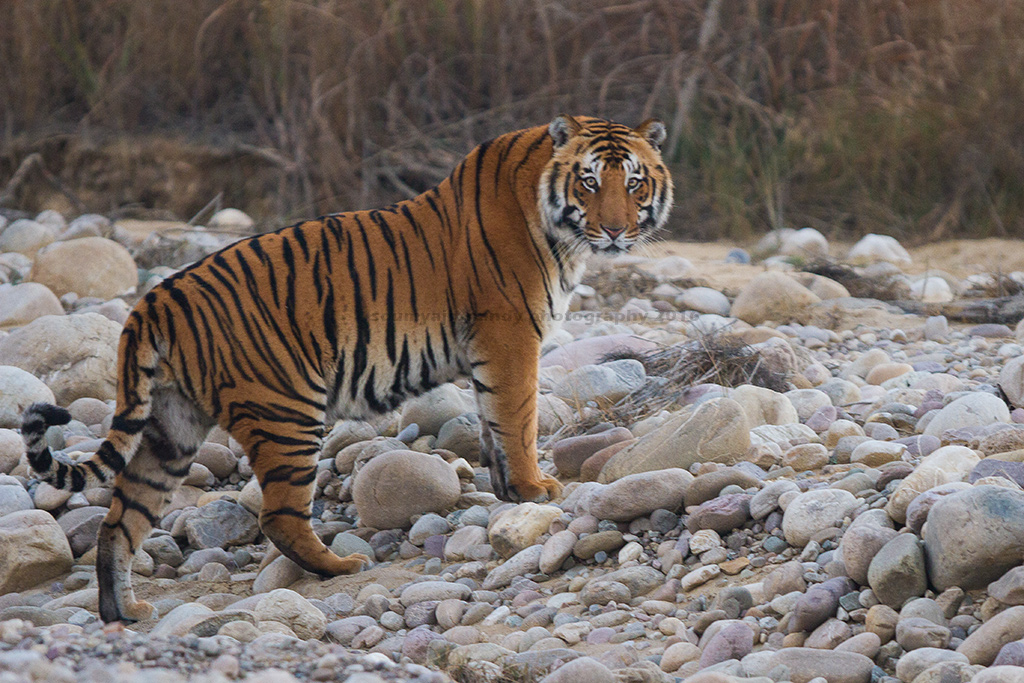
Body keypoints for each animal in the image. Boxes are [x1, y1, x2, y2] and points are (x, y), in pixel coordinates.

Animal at [22, 115, 673, 624]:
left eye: (633, 181)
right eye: (589, 181)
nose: (615, 229)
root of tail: (156, 298)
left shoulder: (492, 348)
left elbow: (493, 423)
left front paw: (514, 493)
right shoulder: (510, 334)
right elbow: (518, 417)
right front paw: (538, 488)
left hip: (172, 428)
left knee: (120, 520)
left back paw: (122, 612)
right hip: (287, 412)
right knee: (280, 516)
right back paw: (340, 565)